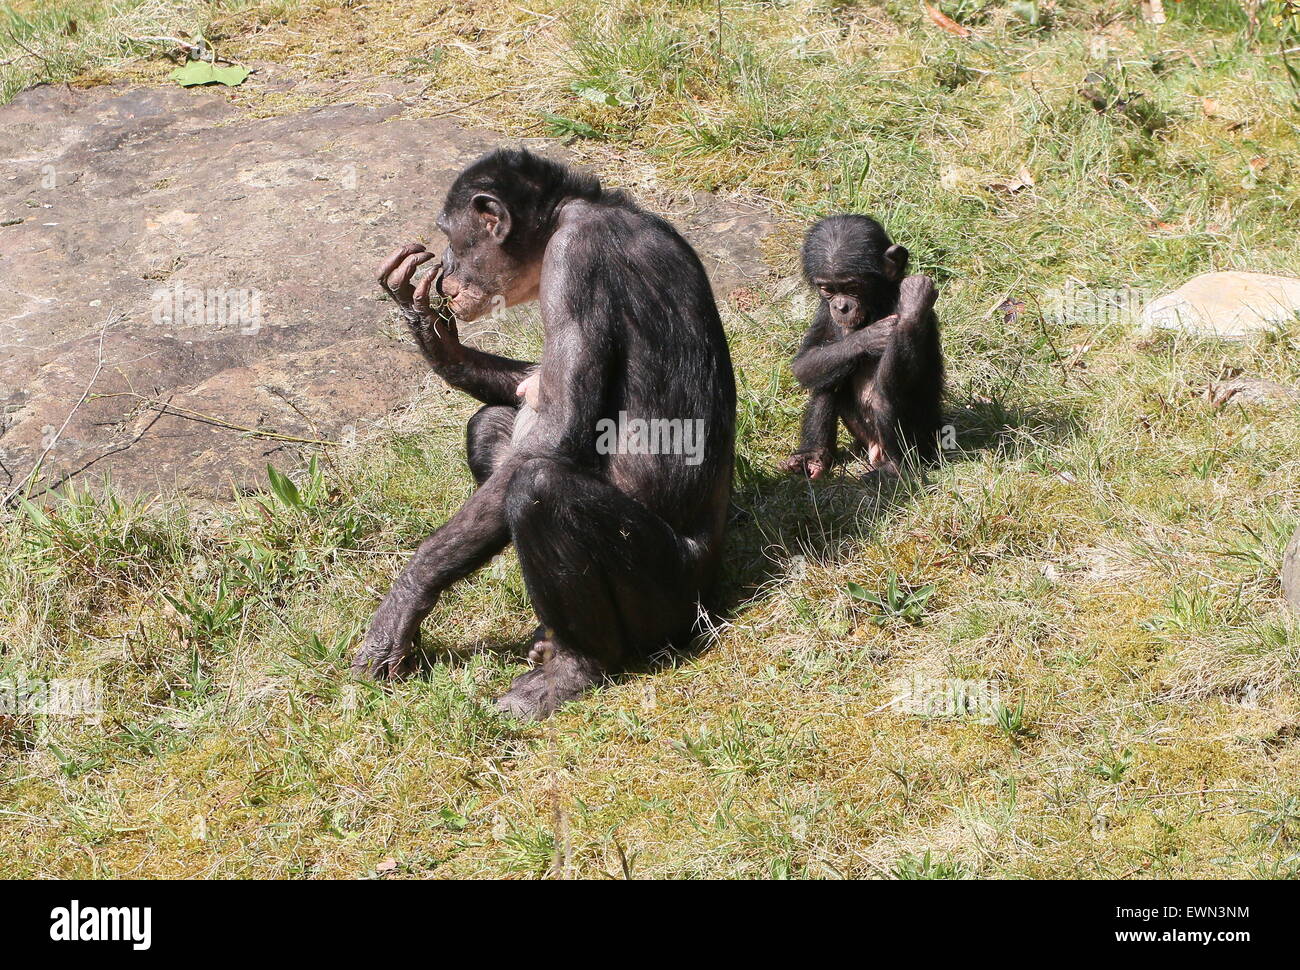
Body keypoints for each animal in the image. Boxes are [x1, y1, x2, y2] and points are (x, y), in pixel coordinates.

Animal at [353, 148, 736, 721]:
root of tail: (712, 591)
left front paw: (403, 603)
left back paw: (572, 669)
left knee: (537, 487)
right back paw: (547, 639)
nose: (446, 268)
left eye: (451, 234)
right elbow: (531, 391)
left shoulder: (575, 263)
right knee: (489, 426)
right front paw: (433, 332)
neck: (565, 214)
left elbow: (557, 426)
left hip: (670, 600)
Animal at [780, 214, 944, 479]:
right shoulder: (823, 312)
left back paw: (896, 468)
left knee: (885, 394)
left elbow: (904, 378)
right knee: (826, 381)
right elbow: (804, 363)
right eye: (827, 289)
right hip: (861, 436)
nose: (841, 306)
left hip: (926, 444)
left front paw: (913, 301)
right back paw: (812, 456)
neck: (877, 306)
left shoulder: (927, 321)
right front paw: (869, 337)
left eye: (852, 287)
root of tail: (874, 452)